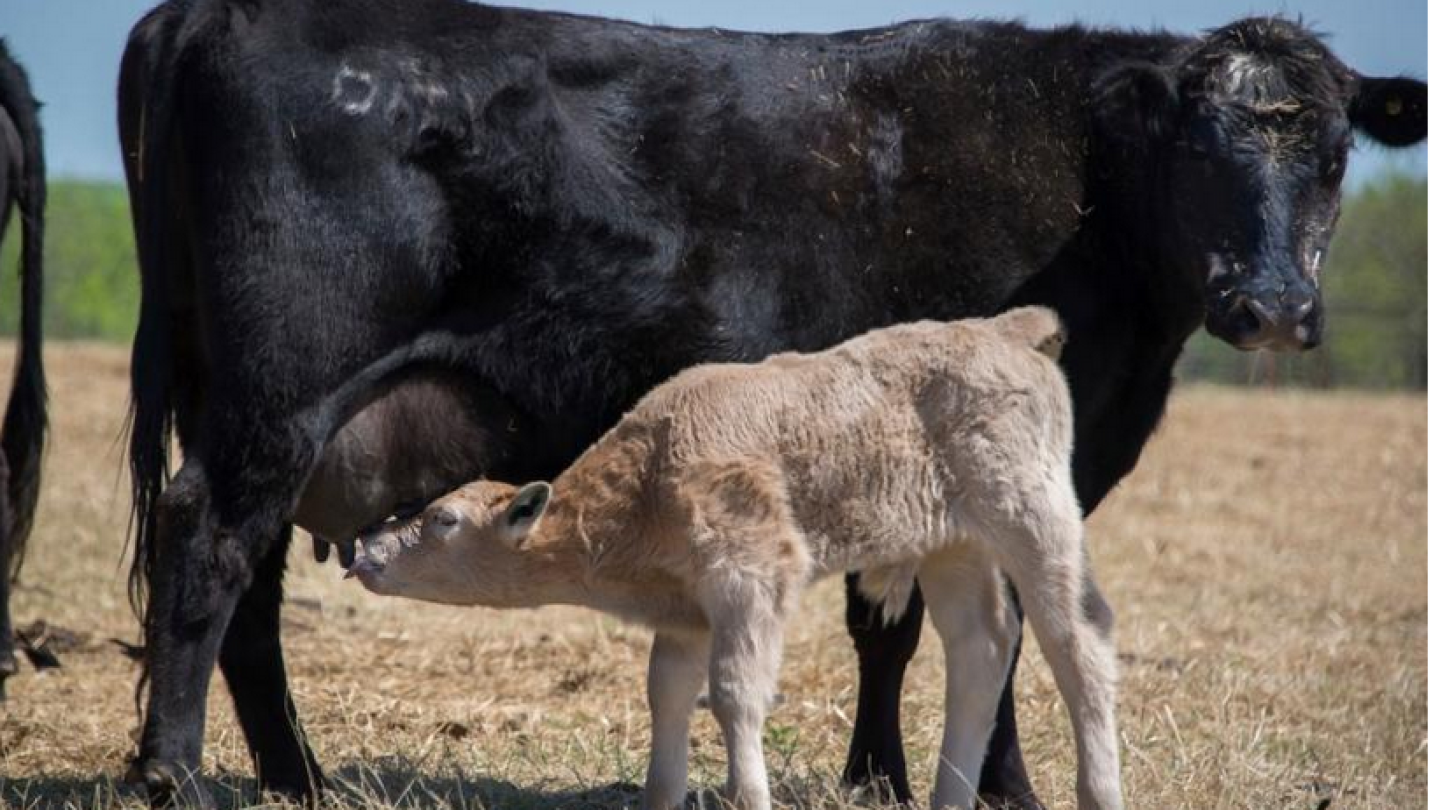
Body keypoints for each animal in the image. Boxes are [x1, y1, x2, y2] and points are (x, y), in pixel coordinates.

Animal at [116, 1, 1426, 806]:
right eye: (1201, 149)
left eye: (1332, 159)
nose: (1270, 306)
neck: (1090, 177)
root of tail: (209, 14)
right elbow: (933, 627)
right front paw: (980, 780)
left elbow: (899, 628)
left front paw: (889, 774)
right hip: (278, 398)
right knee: (208, 546)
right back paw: (173, 772)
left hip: (267, 414)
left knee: (247, 585)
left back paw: (297, 777)